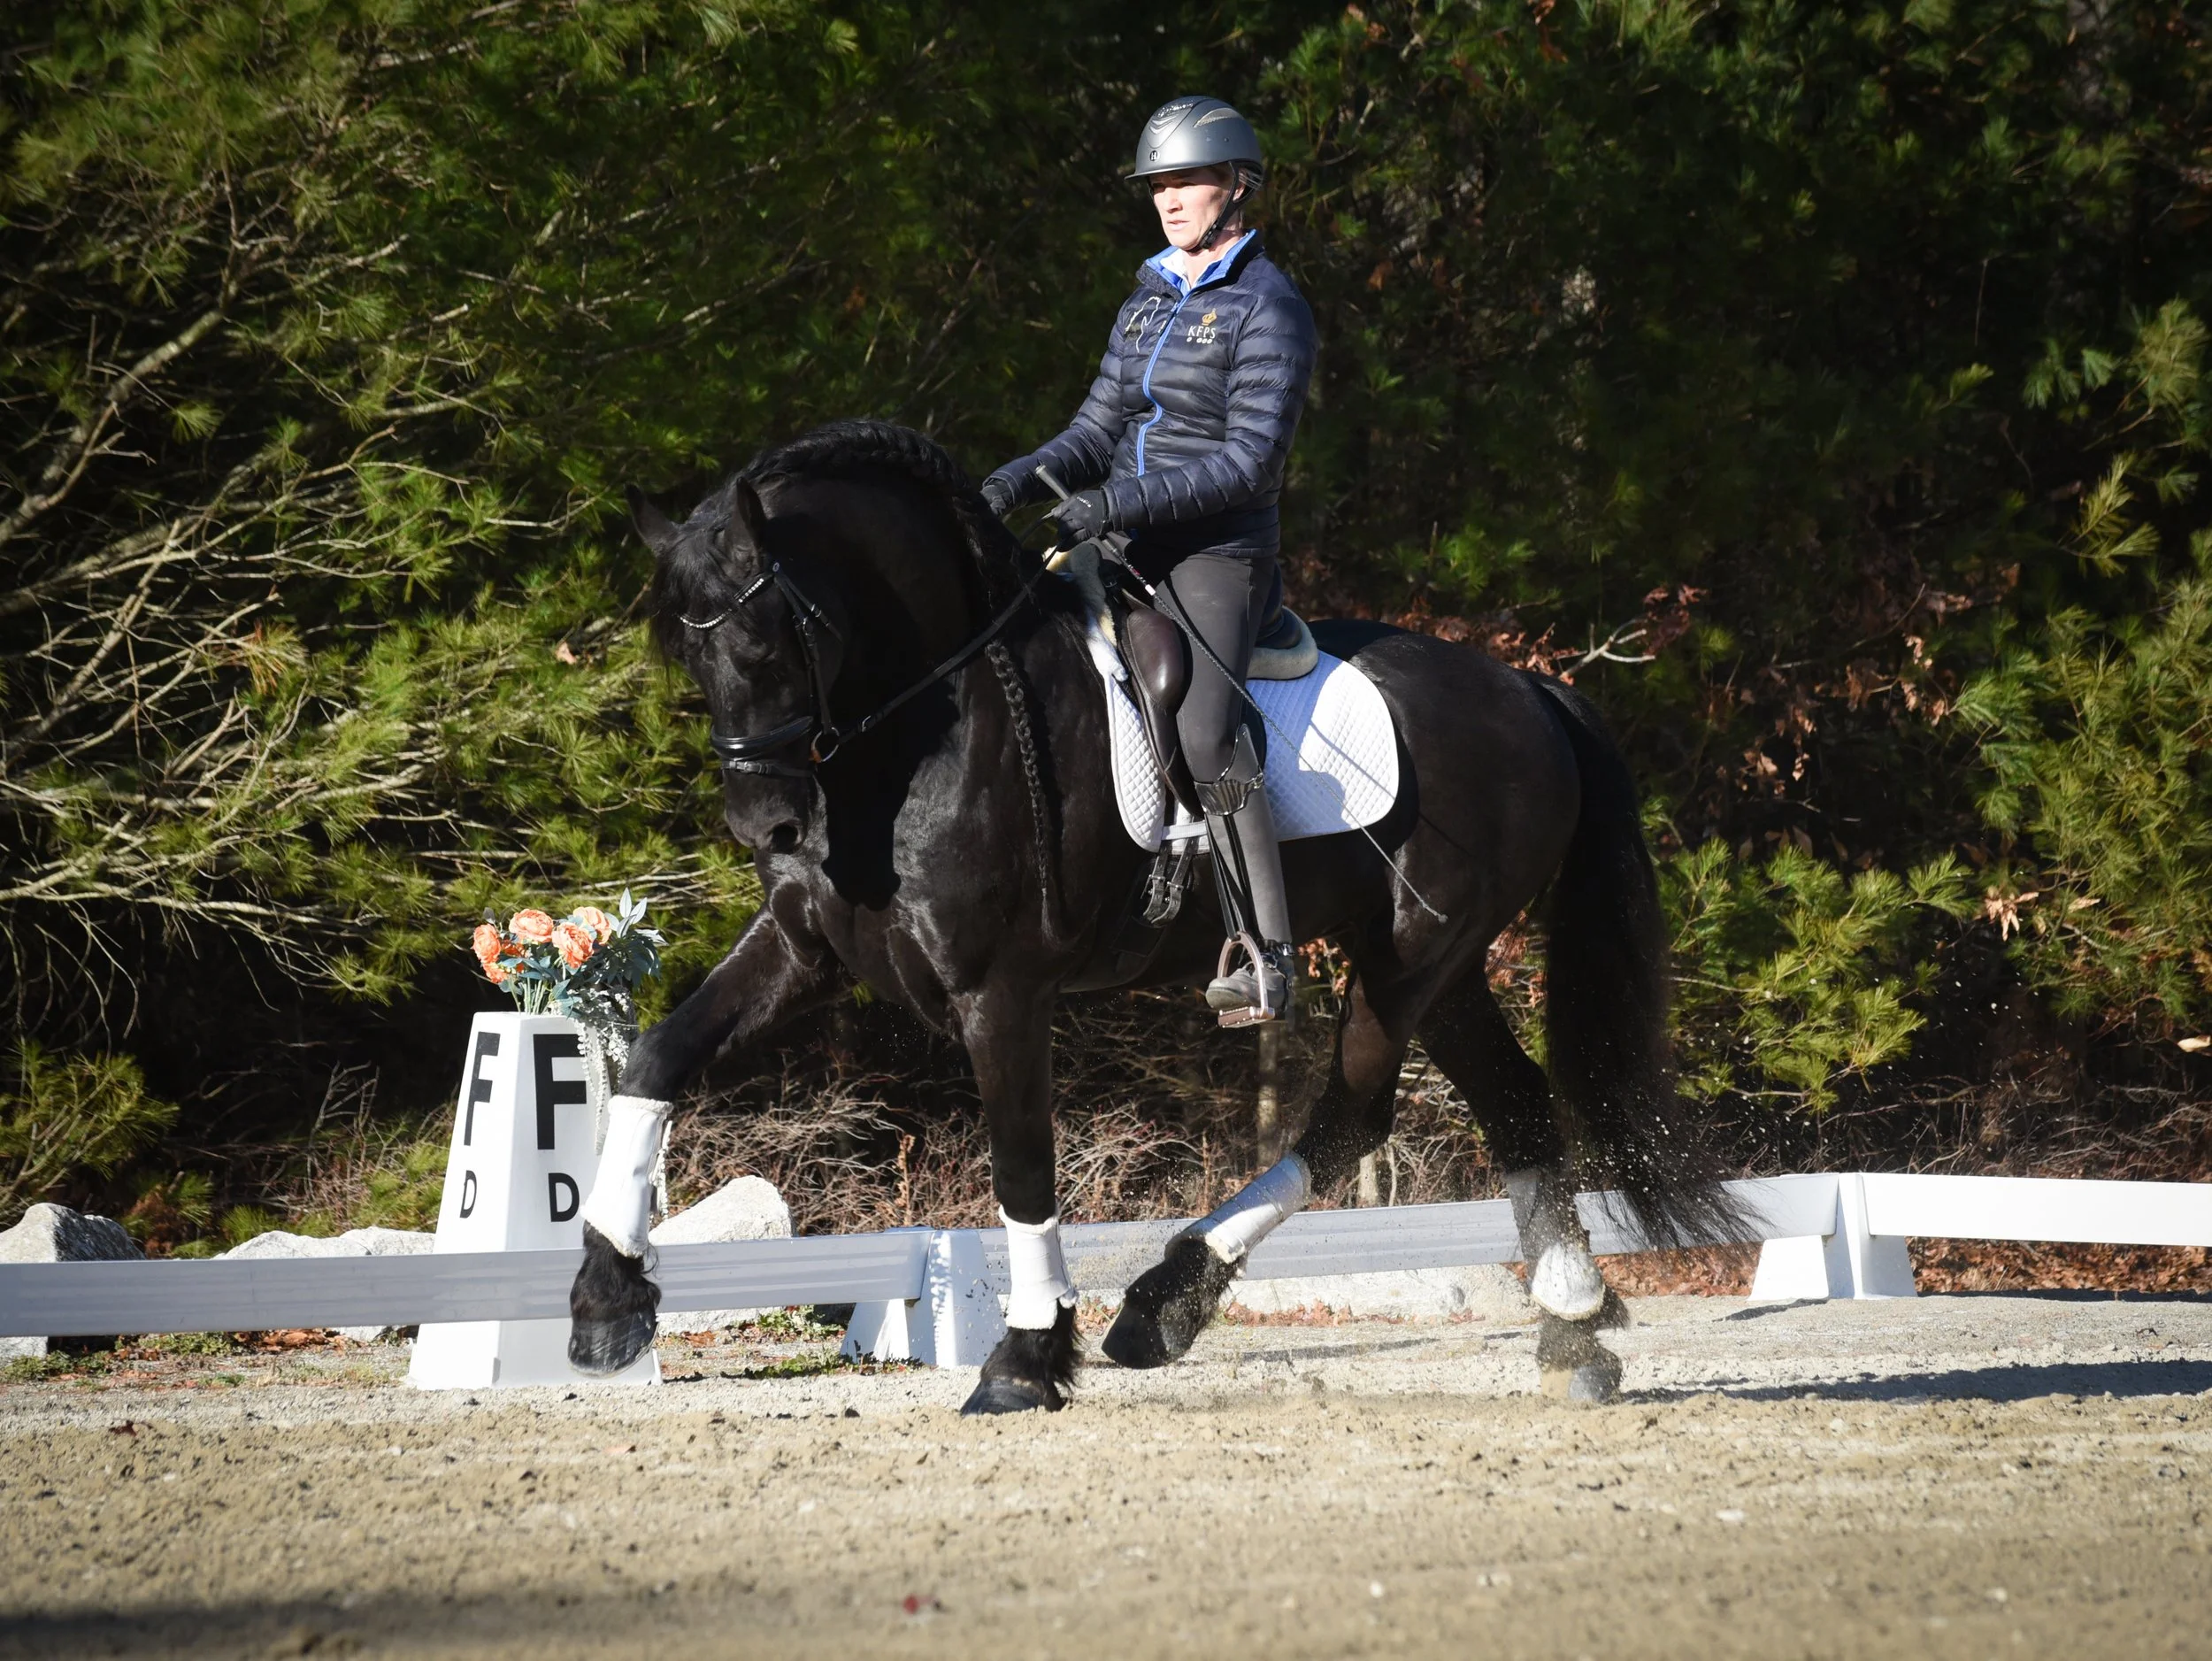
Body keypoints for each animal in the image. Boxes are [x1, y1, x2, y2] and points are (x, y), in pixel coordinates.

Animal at [566, 418, 1737, 1413]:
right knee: (1512, 1102)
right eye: (690, 648)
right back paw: (1569, 1325)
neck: (918, 735)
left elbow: (1020, 1157)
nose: (764, 821)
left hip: (1414, 955)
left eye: (775, 633)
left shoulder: (1000, 988)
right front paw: (605, 1301)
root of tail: (1528, 692)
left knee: (1358, 1110)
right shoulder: (803, 948)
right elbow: (659, 1055)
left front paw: (1024, 1358)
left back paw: (1169, 1299)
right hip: (1434, 962)